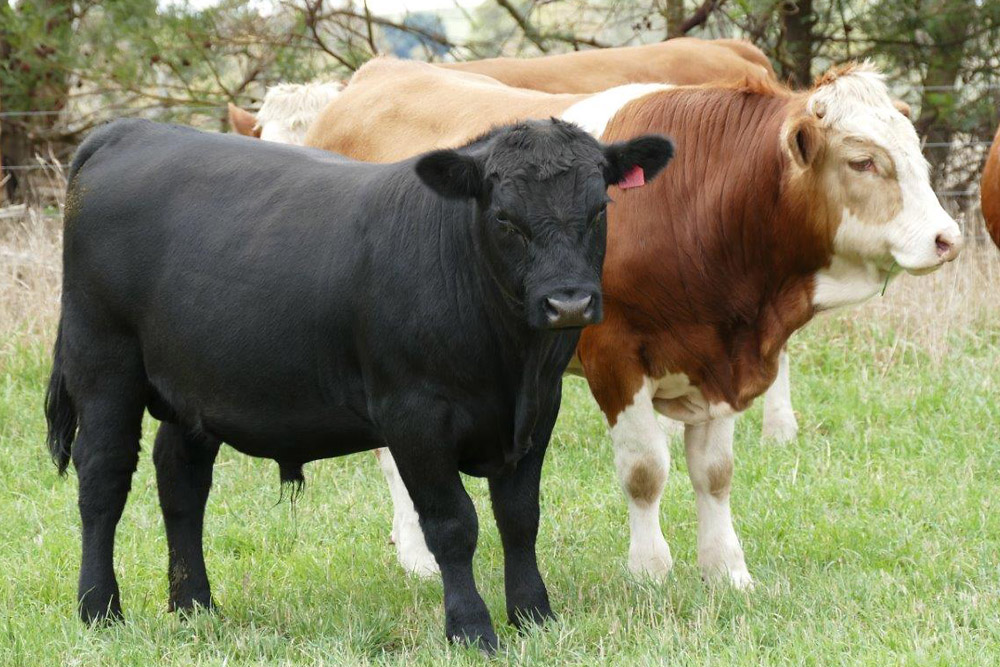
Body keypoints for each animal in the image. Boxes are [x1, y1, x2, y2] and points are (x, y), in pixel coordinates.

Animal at [45, 117, 674, 650]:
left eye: (599, 209)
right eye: (504, 219)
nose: (568, 301)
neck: (508, 361)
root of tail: (129, 130)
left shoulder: (538, 408)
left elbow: (520, 517)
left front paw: (533, 616)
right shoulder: (413, 414)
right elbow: (453, 524)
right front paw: (471, 629)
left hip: (195, 388)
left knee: (181, 482)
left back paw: (195, 605)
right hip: (103, 362)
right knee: (102, 481)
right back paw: (99, 610)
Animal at [304, 57, 963, 586]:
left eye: (916, 154)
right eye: (863, 161)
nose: (946, 238)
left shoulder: (717, 360)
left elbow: (715, 474)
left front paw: (727, 571)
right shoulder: (613, 354)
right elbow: (646, 470)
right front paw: (650, 571)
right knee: (396, 458)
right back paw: (418, 558)